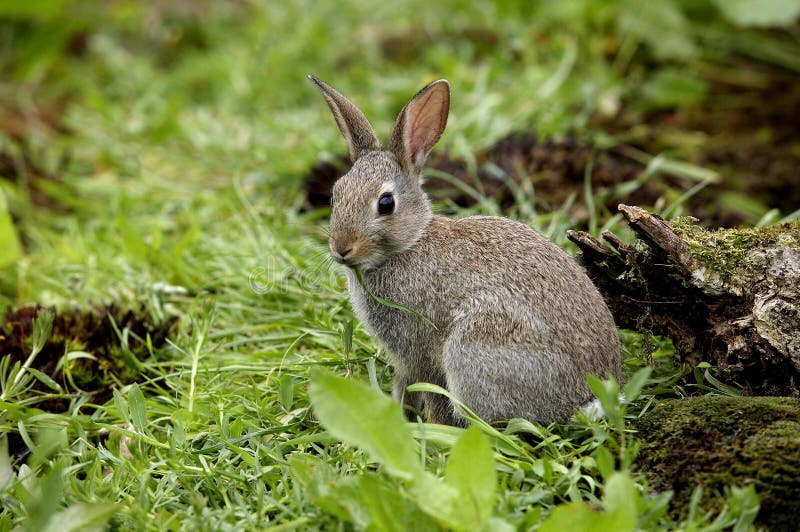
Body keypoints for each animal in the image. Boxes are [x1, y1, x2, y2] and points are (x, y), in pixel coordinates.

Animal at [309, 74, 621, 426]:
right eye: (335, 195)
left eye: (386, 204)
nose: (341, 249)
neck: (410, 244)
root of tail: (587, 400)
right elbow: (404, 388)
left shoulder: (420, 348)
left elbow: (429, 391)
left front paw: (427, 427)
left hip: (475, 348)